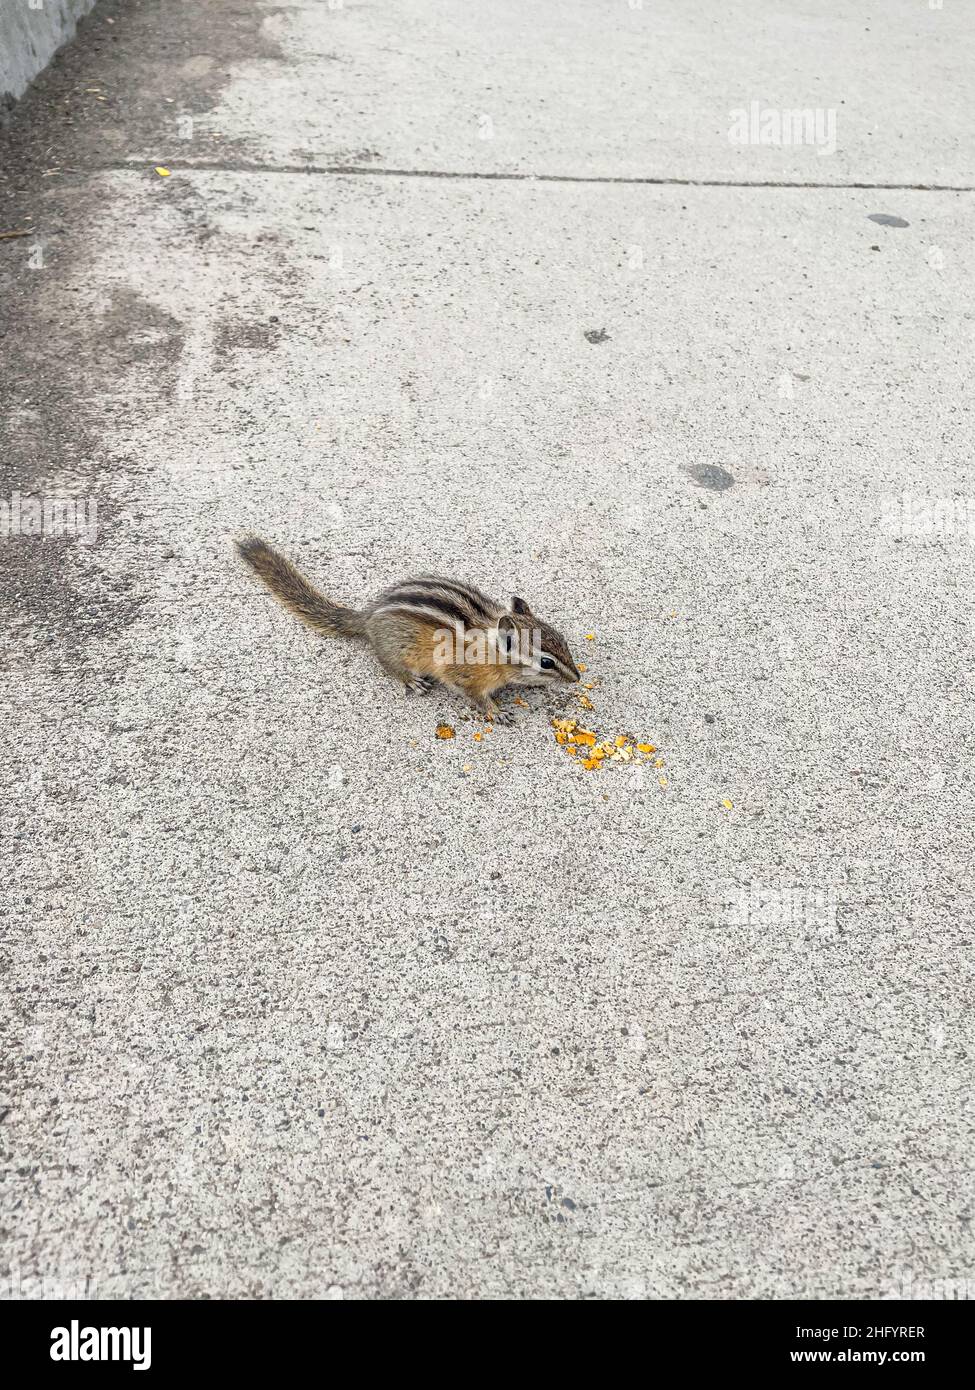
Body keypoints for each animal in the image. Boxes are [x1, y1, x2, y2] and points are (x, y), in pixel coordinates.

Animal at [235, 535, 581, 724]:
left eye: (563, 641)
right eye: (546, 662)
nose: (577, 678)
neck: (490, 649)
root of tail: (368, 616)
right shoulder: (463, 676)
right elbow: (474, 697)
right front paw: (495, 711)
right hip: (399, 651)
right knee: (387, 664)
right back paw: (409, 679)